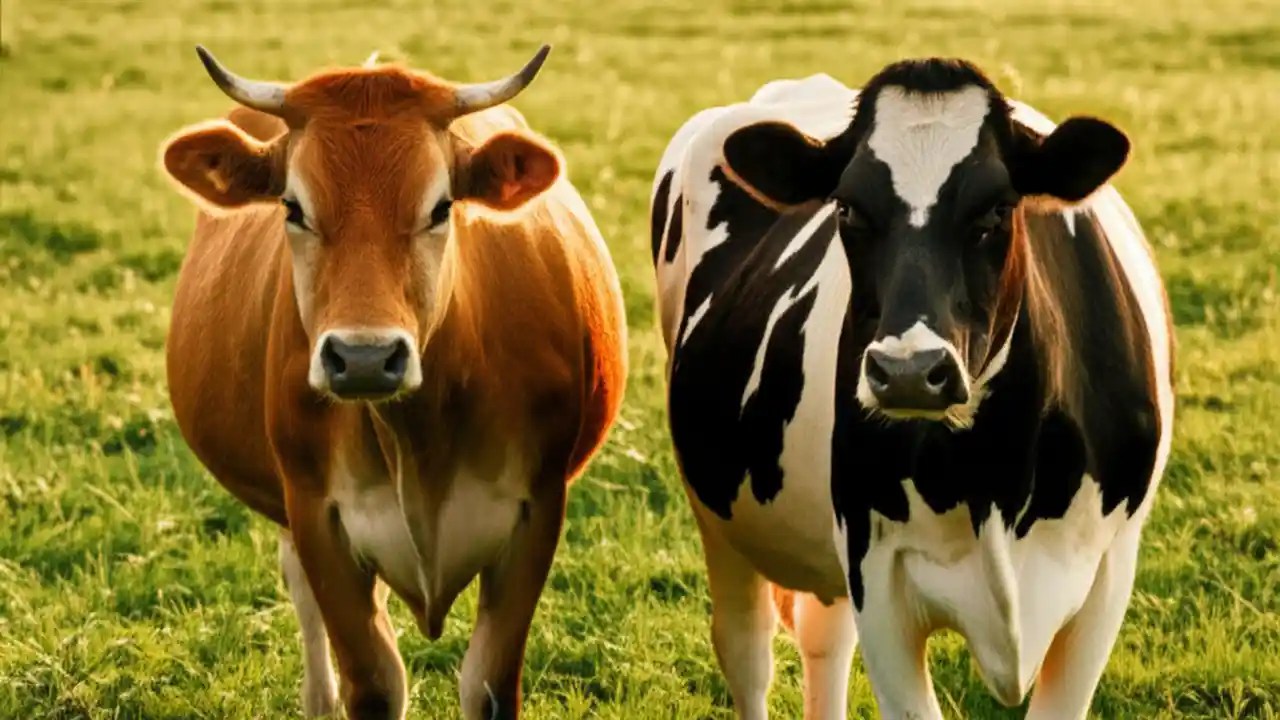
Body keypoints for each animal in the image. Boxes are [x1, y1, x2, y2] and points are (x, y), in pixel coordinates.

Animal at [160, 45, 626, 720]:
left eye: (441, 207)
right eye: (293, 208)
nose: (363, 357)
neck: (419, 438)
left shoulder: (537, 511)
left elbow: (488, 685)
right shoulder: (317, 517)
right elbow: (375, 682)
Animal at [651, 59, 1173, 720]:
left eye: (997, 209)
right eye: (847, 209)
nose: (908, 370)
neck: (993, 480)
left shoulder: (1108, 576)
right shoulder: (876, 577)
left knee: (823, 643)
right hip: (719, 517)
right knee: (747, 652)